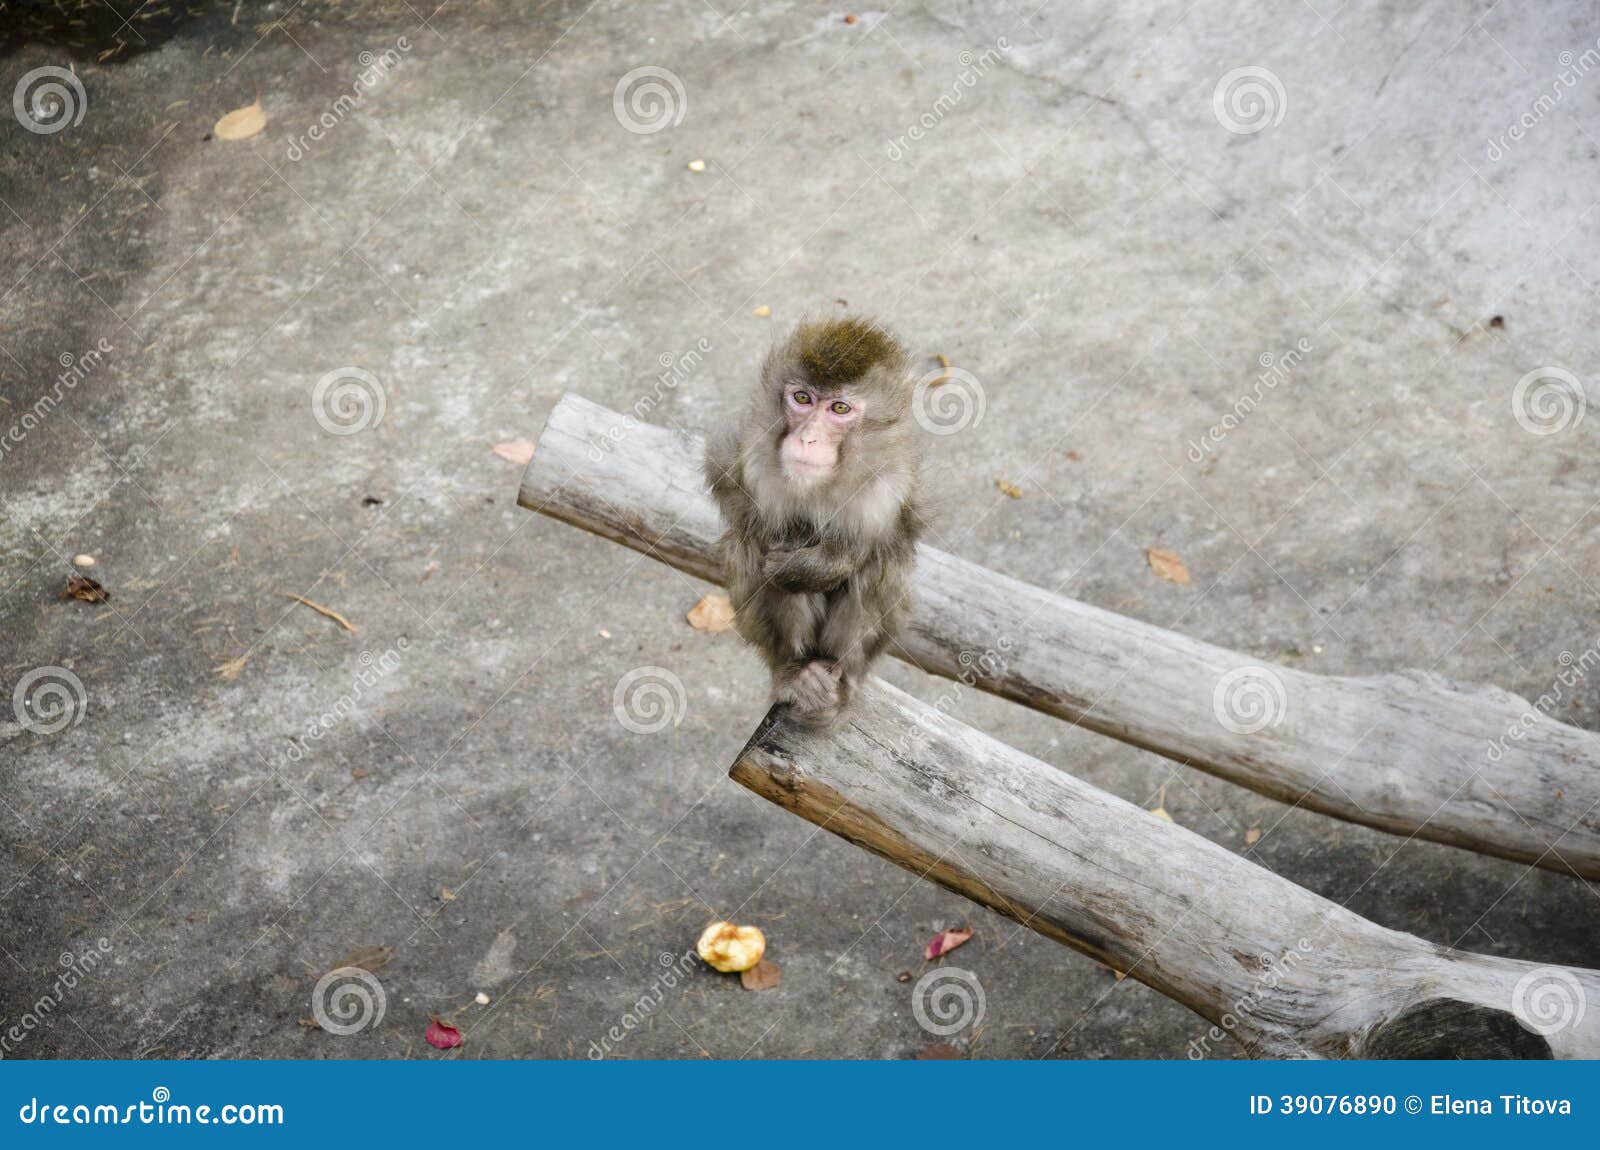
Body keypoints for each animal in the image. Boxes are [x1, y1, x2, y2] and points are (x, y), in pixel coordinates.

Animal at [704, 317, 925, 727]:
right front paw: (789, 545)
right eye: (802, 399)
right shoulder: (747, 451)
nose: (808, 439)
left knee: (880, 565)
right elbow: (747, 517)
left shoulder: (891, 485)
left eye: (839, 407)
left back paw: (840, 681)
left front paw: (809, 565)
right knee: (746, 550)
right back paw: (795, 673)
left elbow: (869, 546)